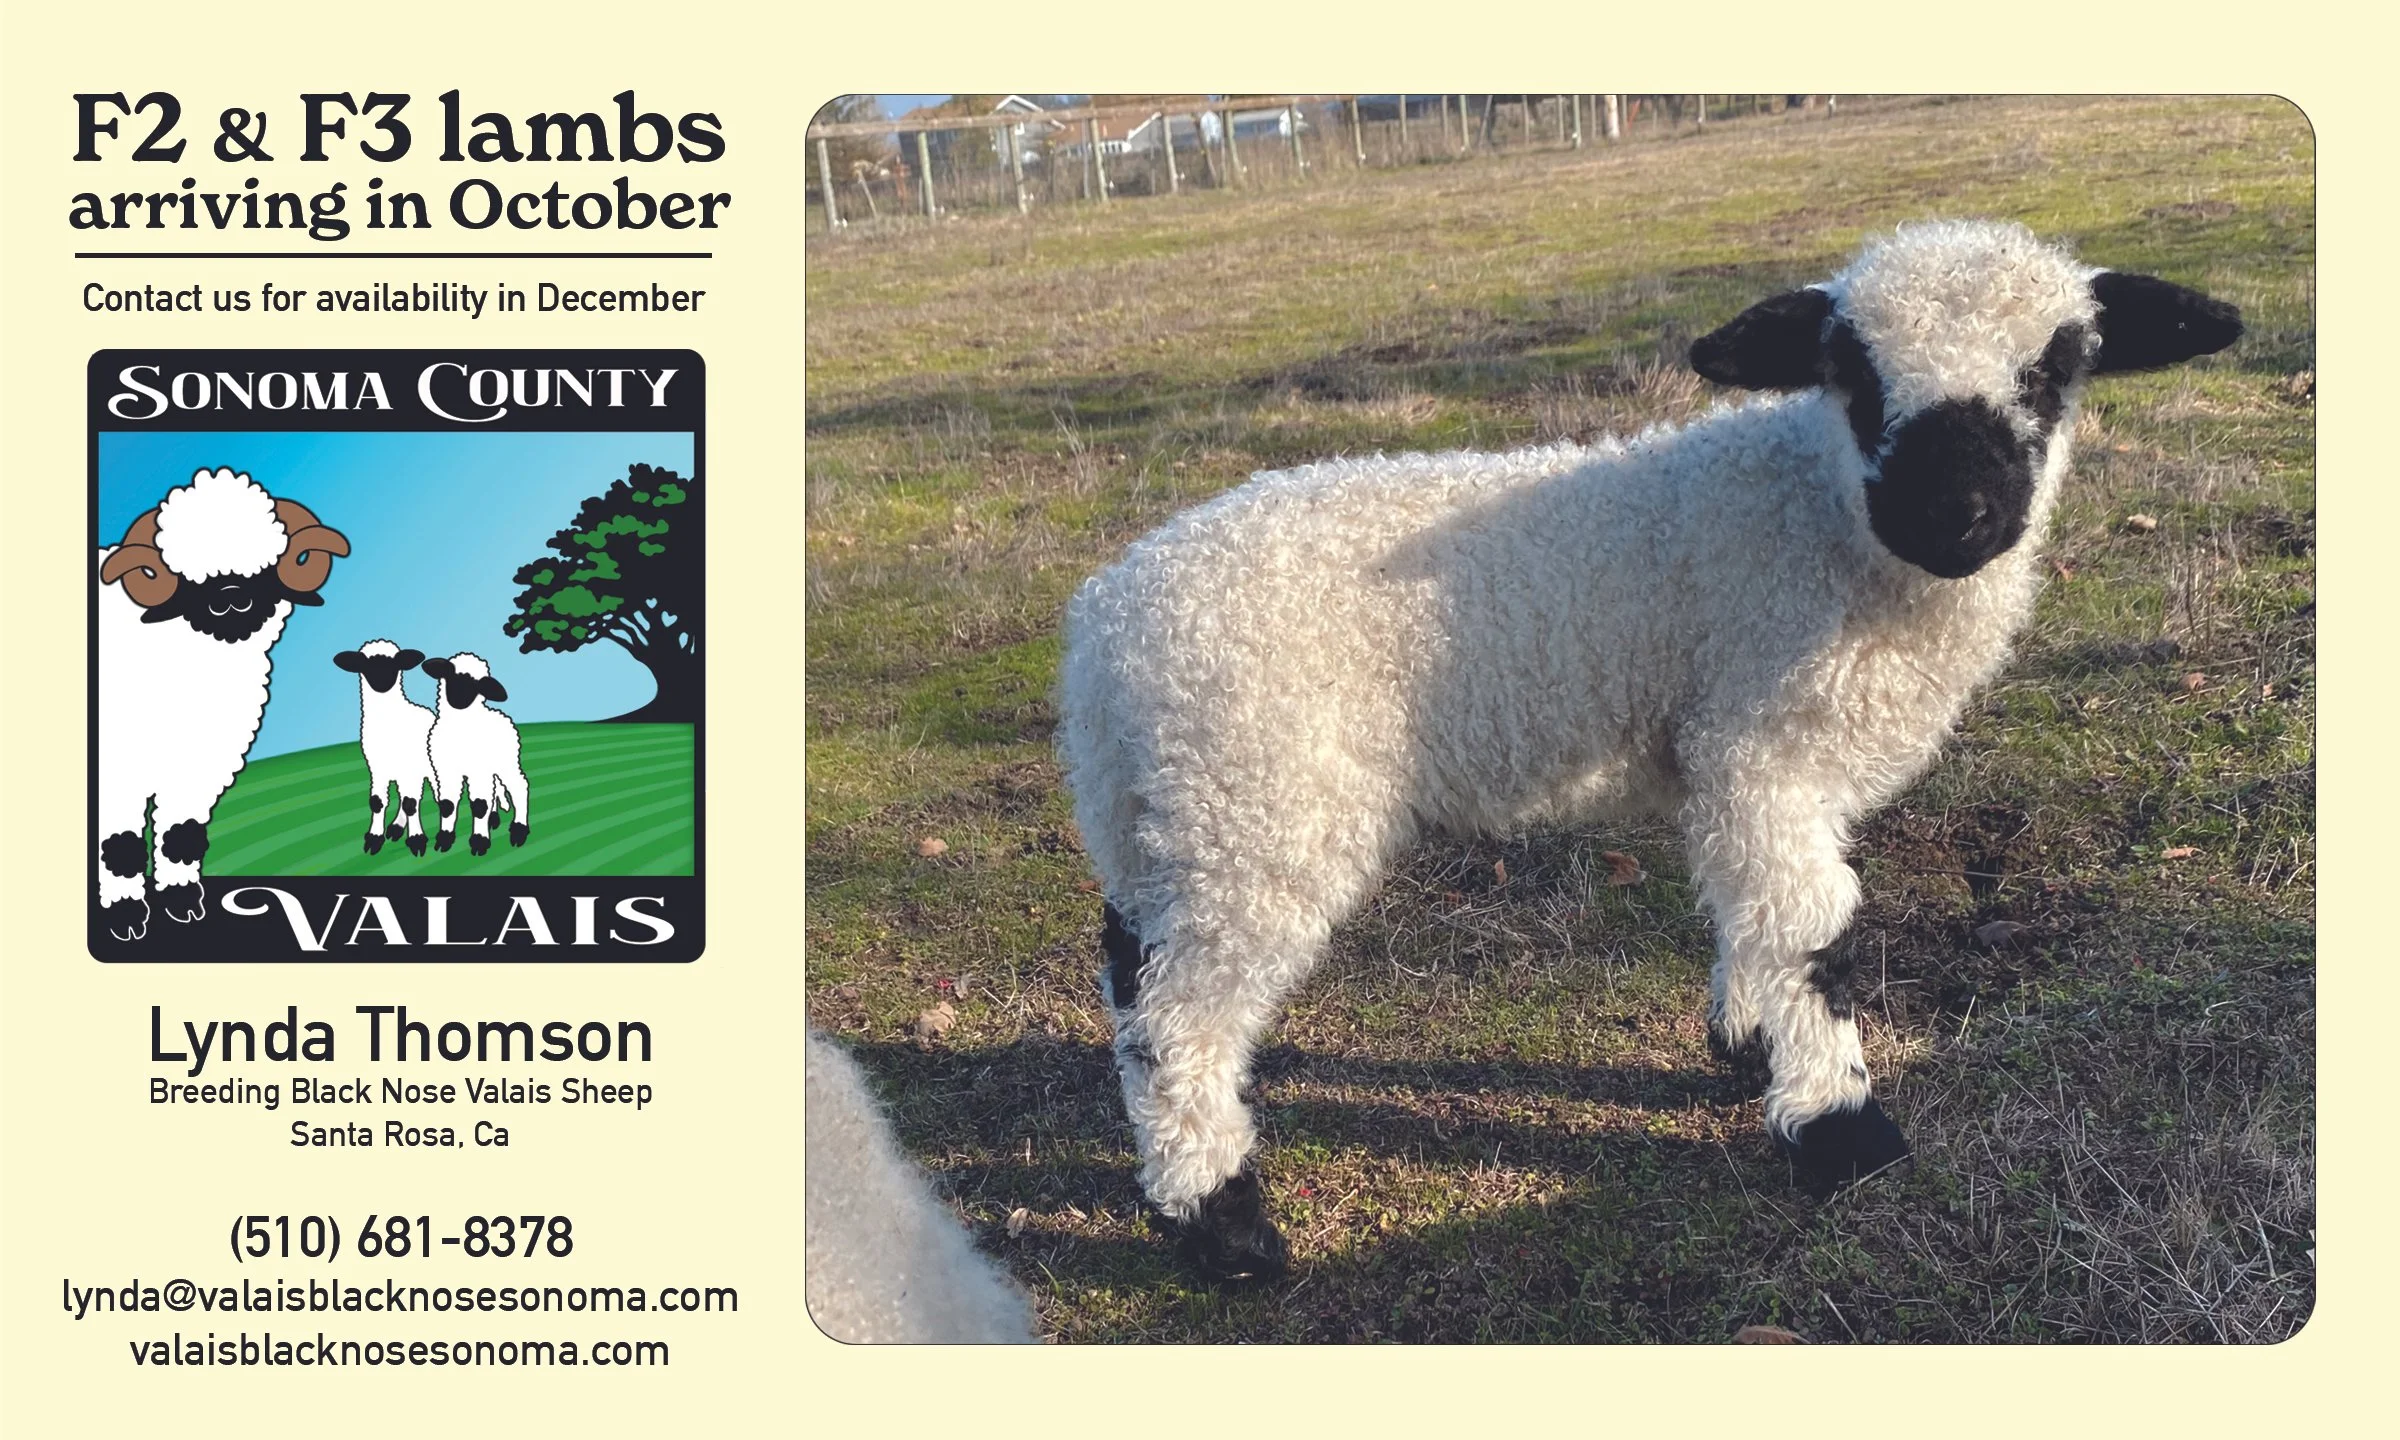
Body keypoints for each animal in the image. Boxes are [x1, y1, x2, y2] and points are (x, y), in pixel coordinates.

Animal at [96, 467, 349, 941]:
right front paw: (125, 915)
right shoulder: (117, 773)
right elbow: (120, 846)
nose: (231, 600)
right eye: (185, 579)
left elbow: (181, 836)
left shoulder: (200, 767)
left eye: (266, 570)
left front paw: (181, 904)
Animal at [333, 640, 435, 856]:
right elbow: (378, 802)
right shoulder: (377, 769)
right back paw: (396, 827)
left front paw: (417, 839)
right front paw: (374, 838)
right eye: (364, 665)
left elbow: (411, 803)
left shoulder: (408, 770)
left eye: (396, 663)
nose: (382, 683)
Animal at [420, 652, 530, 857]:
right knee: (494, 788)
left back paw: (519, 830)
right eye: (450, 675)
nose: (458, 699)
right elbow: (447, 805)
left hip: (507, 763)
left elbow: (480, 806)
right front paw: (444, 839)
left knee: (519, 786)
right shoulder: (446, 771)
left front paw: (479, 841)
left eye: (478, 685)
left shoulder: (479, 770)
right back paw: (494, 819)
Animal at [1056, 220, 2244, 1280]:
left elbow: (1747, 907)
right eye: (1853, 376)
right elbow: (1813, 932)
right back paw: (1223, 1227)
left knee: (1130, 966)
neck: (1814, 519)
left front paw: (1747, 1045)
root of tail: (1102, 630)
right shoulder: (1761, 742)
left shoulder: (1730, 764)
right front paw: (1840, 1131)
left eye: (2055, 370)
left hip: (1163, 811)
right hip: (1261, 801)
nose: (1955, 513)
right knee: (1182, 1017)